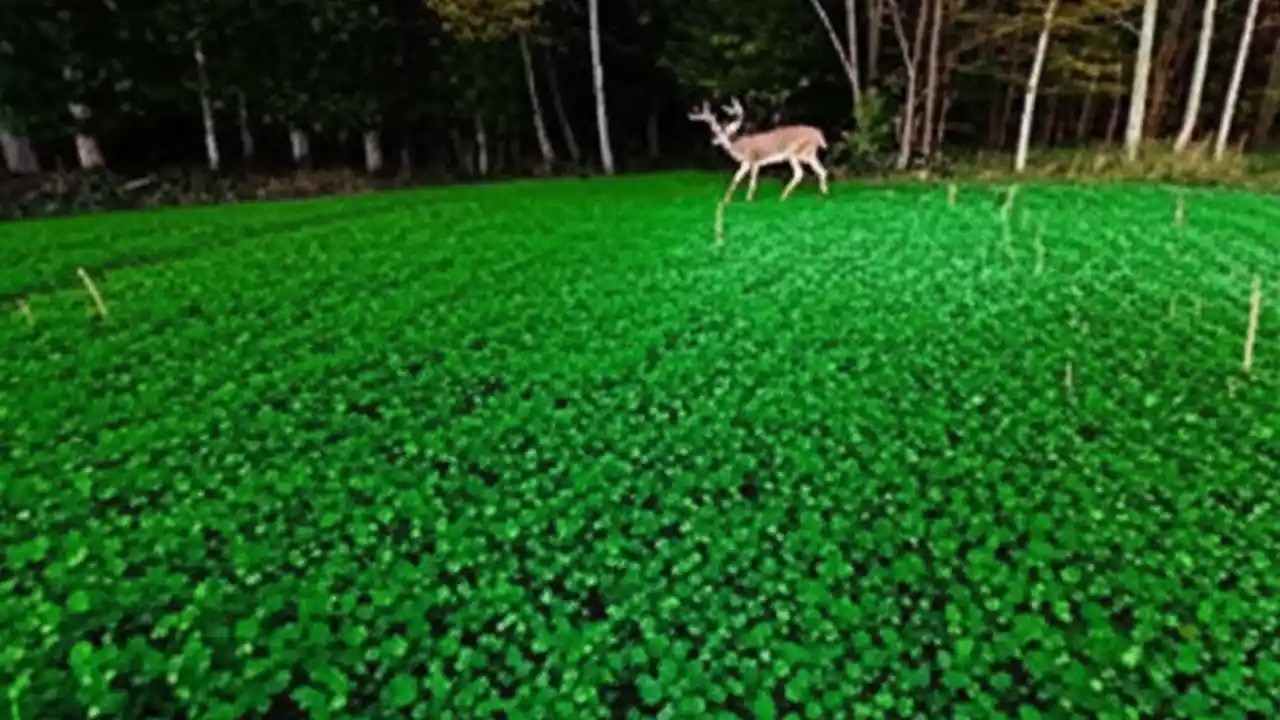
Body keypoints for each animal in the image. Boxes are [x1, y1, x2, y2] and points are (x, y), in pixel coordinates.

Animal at [688, 98, 829, 204]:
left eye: (726, 133)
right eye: (716, 133)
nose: (714, 141)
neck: (738, 148)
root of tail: (819, 136)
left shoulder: (752, 159)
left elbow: (748, 180)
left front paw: (745, 199)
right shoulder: (749, 163)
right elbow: (740, 179)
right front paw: (730, 200)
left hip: (793, 152)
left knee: (799, 173)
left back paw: (782, 197)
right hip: (809, 154)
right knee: (822, 171)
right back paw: (824, 193)